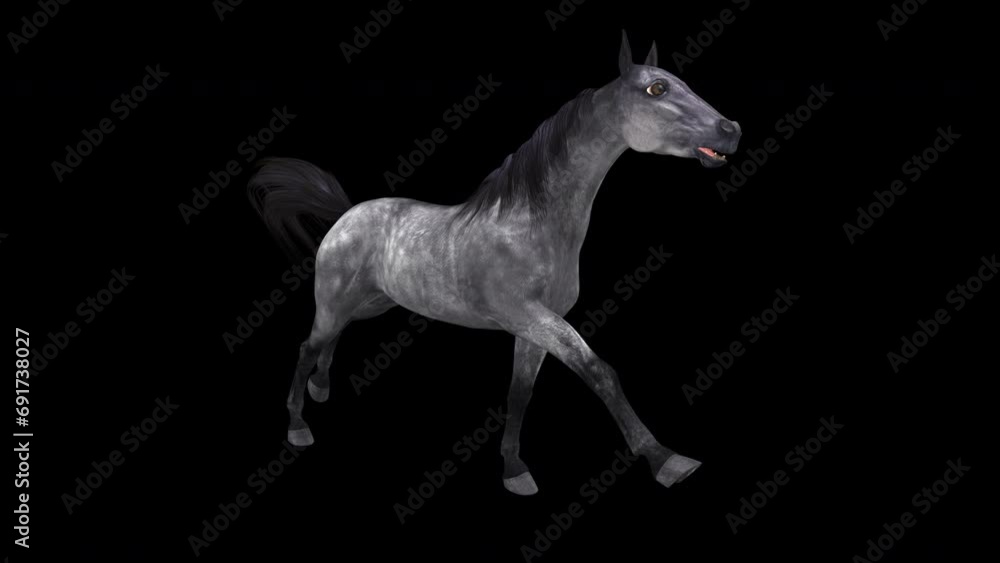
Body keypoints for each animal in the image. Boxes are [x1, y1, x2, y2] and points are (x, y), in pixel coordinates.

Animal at [247, 31, 741, 495]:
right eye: (657, 88)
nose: (731, 129)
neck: (532, 225)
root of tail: (347, 216)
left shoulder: (534, 327)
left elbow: (519, 393)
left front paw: (514, 470)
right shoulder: (529, 316)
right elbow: (599, 371)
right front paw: (666, 460)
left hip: (371, 302)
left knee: (332, 339)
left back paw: (321, 388)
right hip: (335, 300)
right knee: (308, 345)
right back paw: (298, 426)